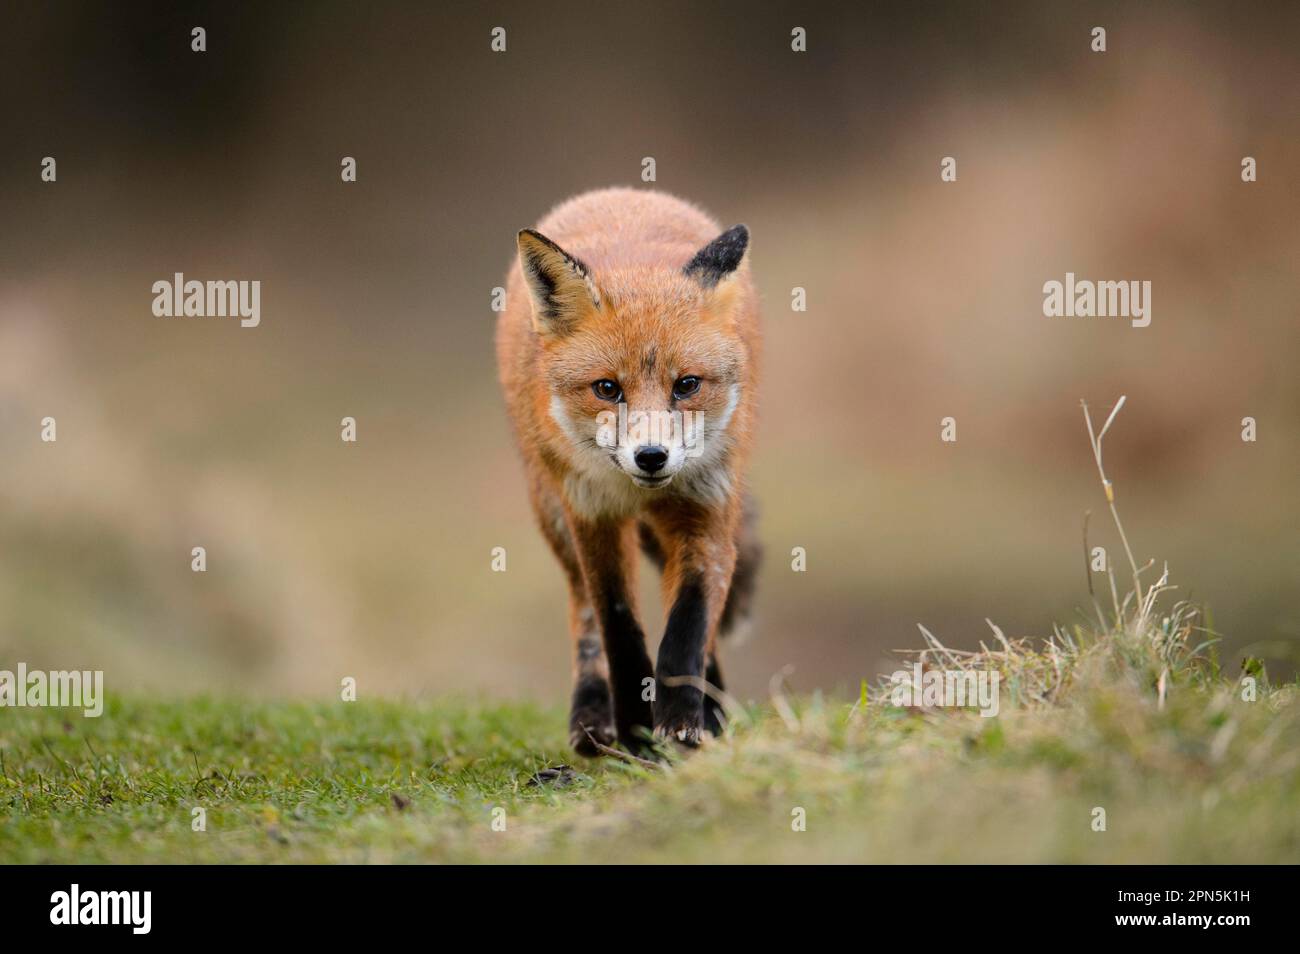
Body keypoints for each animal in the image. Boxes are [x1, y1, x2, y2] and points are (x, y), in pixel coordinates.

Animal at [496, 187, 762, 755]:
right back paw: (591, 719)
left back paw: (713, 710)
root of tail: (626, 193)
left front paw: (683, 721)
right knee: (583, 617)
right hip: (552, 514)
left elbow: (689, 624)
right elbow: (617, 625)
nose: (652, 457)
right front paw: (636, 729)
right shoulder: (591, 517)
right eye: (607, 389)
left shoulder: (708, 512)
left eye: (686, 385)